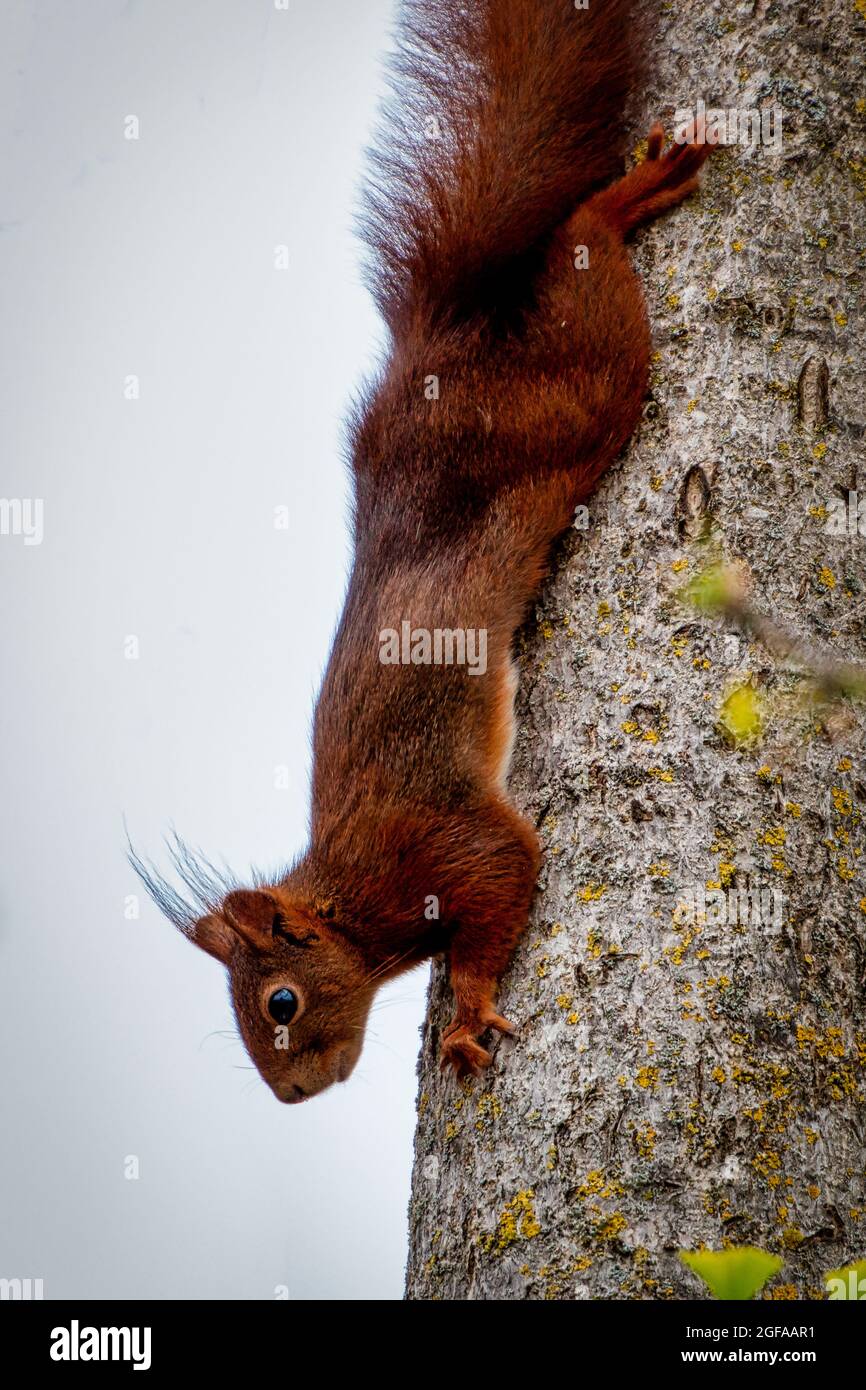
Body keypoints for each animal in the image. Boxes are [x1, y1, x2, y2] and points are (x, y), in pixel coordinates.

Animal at [132, 0, 715, 1103]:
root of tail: (436, 348)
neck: (348, 898)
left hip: (577, 397)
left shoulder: (440, 849)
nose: (292, 1095)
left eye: (280, 1003)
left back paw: (627, 197)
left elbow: (506, 876)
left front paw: (469, 1012)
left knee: (583, 261)